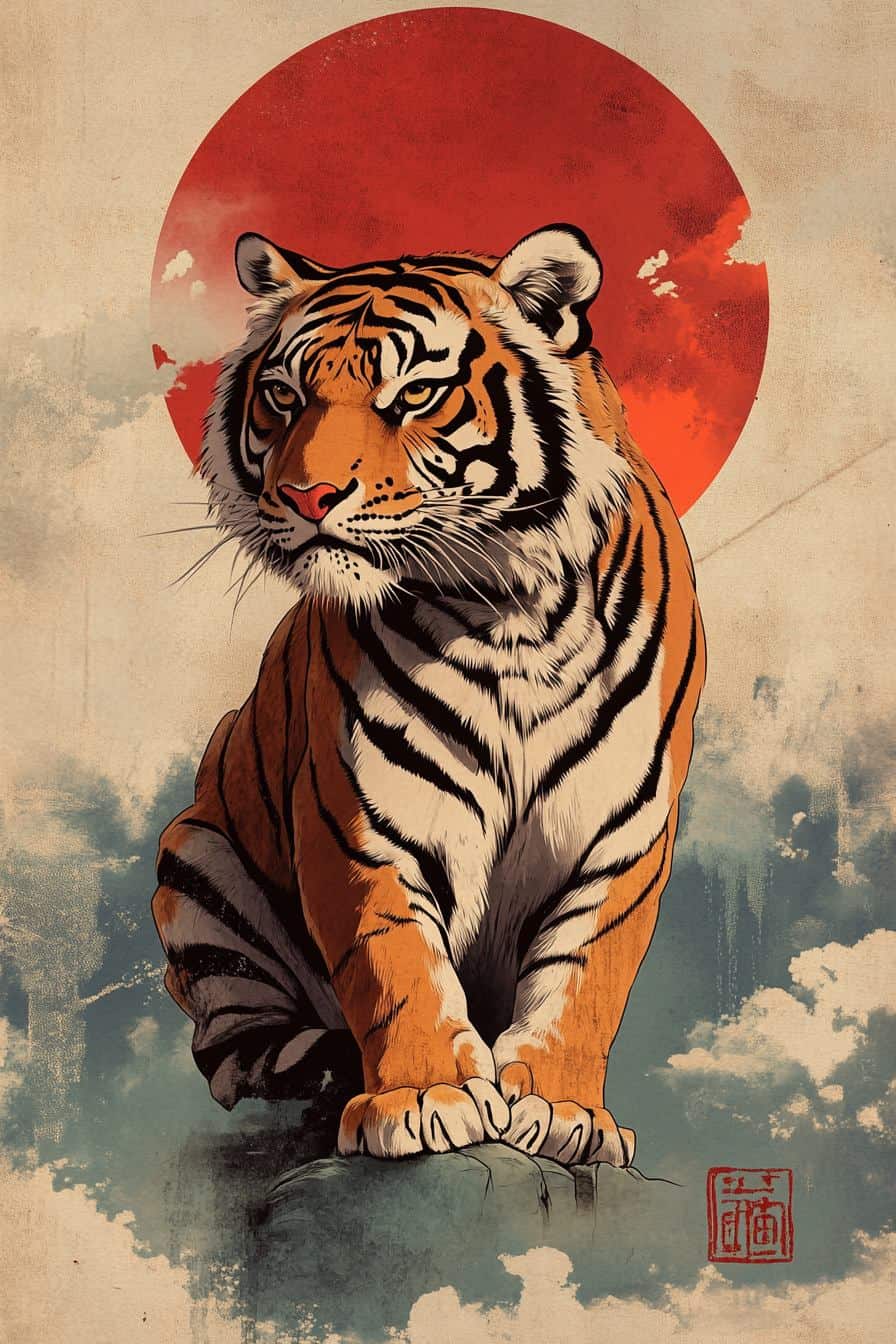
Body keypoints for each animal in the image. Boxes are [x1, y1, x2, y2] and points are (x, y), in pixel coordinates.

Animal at [152, 223, 705, 1168]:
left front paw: (561, 1111)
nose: (305, 496)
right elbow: (396, 962)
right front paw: (423, 1097)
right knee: (239, 1056)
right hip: (198, 862)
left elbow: (582, 978)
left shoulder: (620, 830)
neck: (512, 613)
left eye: (414, 395)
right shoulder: (364, 819)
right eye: (283, 397)